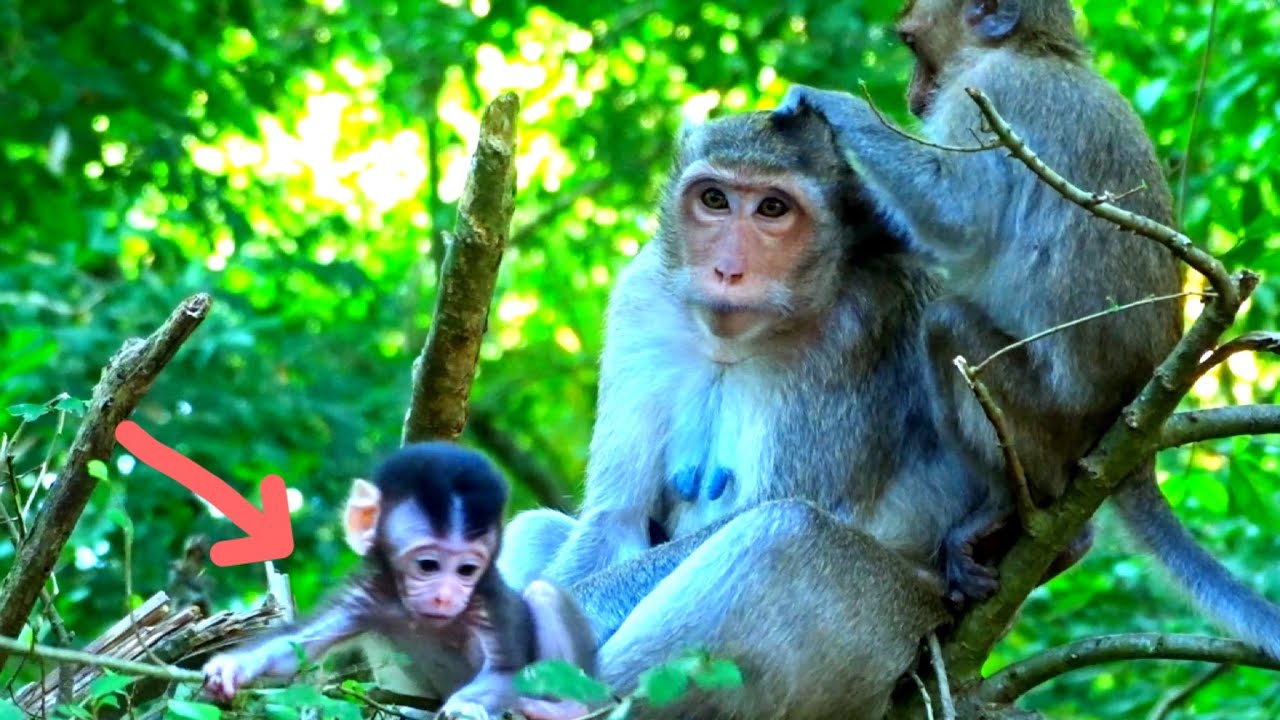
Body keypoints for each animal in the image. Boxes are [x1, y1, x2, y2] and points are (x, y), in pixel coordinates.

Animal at [201, 442, 597, 720]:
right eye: (428, 565)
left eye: (467, 570)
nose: (444, 597)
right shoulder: (369, 594)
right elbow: (292, 652)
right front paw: (230, 667)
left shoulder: (489, 603)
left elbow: (506, 672)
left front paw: (463, 706)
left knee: (542, 594)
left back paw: (565, 709)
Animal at [774, 0, 1280, 655]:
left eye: (911, 46)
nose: (912, 95)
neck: (1036, 51)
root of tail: (1134, 426)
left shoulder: (988, 95)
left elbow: (956, 217)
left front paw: (832, 104)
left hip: (1047, 418)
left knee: (946, 325)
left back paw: (1009, 508)